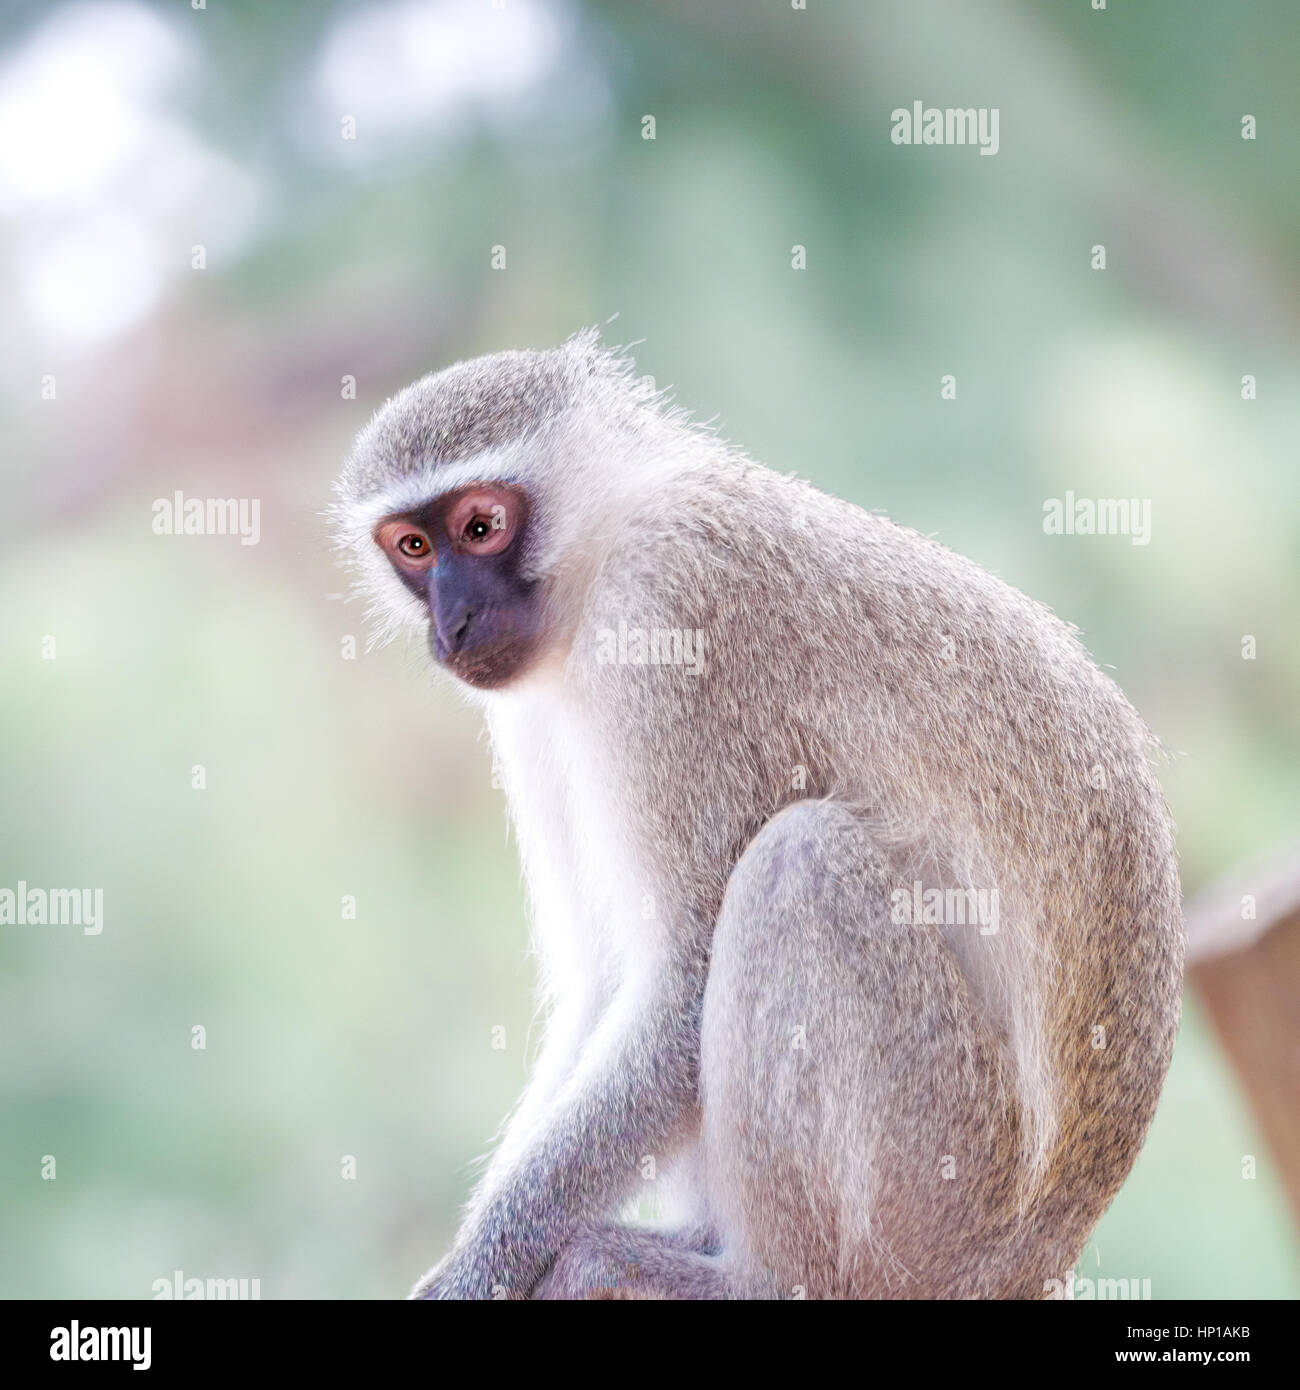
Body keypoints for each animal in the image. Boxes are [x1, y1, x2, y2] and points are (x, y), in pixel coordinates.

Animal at [331, 329, 1183, 1300]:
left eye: (482, 527)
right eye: (412, 546)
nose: (456, 622)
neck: (610, 541)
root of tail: (1028, 1261)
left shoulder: (669, 614)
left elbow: (681, 983)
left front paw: (478, 1270)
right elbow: (606, 982)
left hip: (939, 1186)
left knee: (797, 863)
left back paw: (758, 1275)